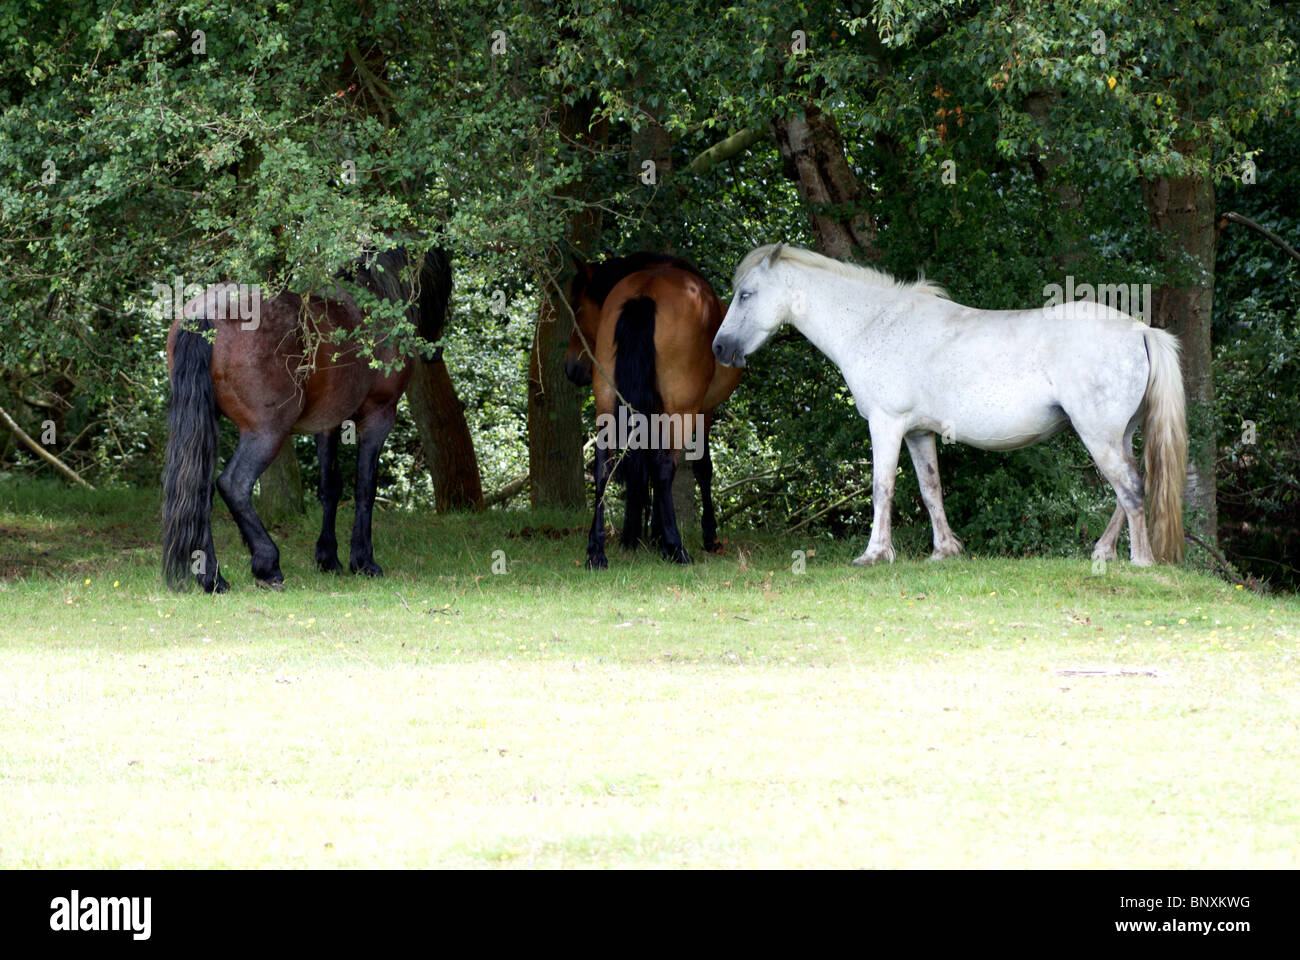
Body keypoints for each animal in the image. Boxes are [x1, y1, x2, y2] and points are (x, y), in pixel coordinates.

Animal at [161, 246, 451, 591]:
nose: (435, 352)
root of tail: (208, 311)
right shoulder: (378, 417)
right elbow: (365, 488)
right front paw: (363, 561)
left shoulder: (327, 424)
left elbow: (330, 487)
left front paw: (328, 558)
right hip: (267, 432)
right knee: (234, 485)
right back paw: (267, 564)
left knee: (200, 490)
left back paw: (213, 578)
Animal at [565, 253, 742, 568]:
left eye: (577, 307)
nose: (571, 367)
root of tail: (645, 293)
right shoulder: (703, 412)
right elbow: (702, 468)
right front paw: (705, 536)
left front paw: (647, 535)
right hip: (682, 412)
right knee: (663, 467)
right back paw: (677, 548)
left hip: (607, 403)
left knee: (603, 468)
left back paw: (597, 551)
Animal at [713, 243, 1187, 566]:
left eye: (746, 294)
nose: (720, 348)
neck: (873, 323)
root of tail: (1141, 330)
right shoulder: (919, 432)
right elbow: (931, 489)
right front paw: (945, 550)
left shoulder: (886, 425)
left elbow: (882, 487)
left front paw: (875, 554)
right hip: (1117, 435)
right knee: (1129, 489)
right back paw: (1104, 551)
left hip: (1098, 435)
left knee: (1130, 488)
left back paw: (1140, 560)